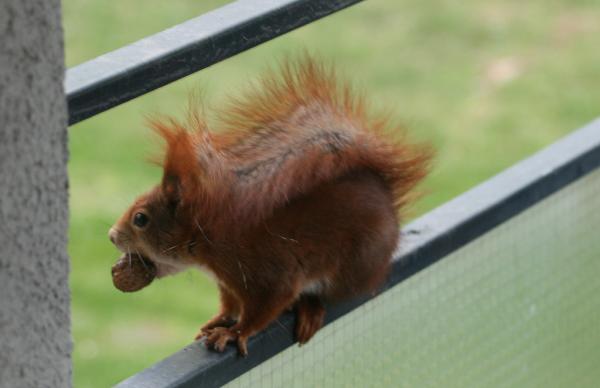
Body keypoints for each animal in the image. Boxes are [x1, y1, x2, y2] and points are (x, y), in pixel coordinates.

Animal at [108, 56, 432, 356]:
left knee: (328, 294)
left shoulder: (266, 272)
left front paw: (235, 333)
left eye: (140, 219)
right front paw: (218, 320)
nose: (112, 236)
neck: (210, 237)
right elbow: (230, 304)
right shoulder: (228, 282)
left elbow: (264, 308)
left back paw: (310, 308)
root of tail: (390, 204)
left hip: (354, 264)